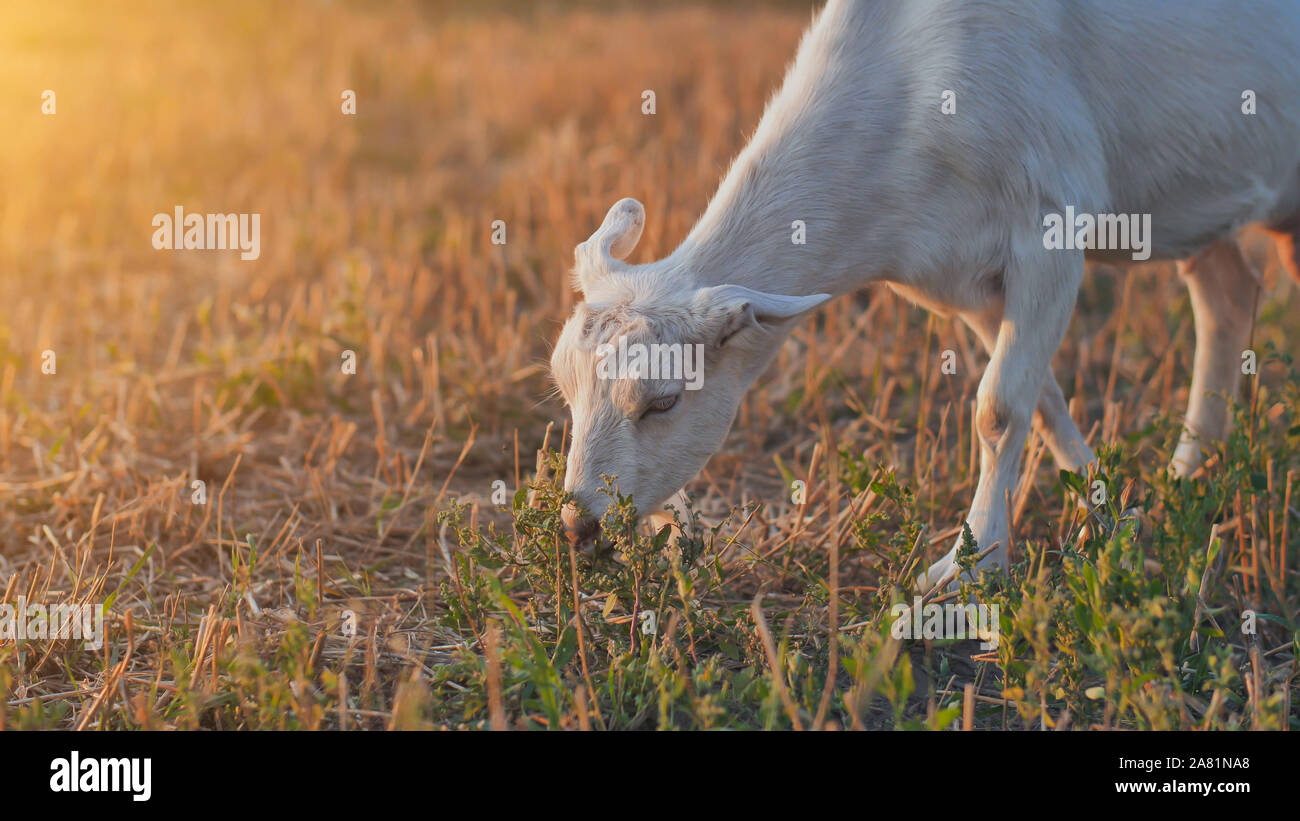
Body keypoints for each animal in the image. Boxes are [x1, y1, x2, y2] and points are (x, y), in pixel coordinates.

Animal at [549, 0, 1300, 591]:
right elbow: (1042, 400)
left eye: (663, 402)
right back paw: (1188, 473)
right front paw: (1115, 517)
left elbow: (998, 406)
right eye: (566, 391)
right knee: (1226, 291)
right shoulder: (961, 279)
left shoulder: (1051, 232)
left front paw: (970, 567)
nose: (579, 526)